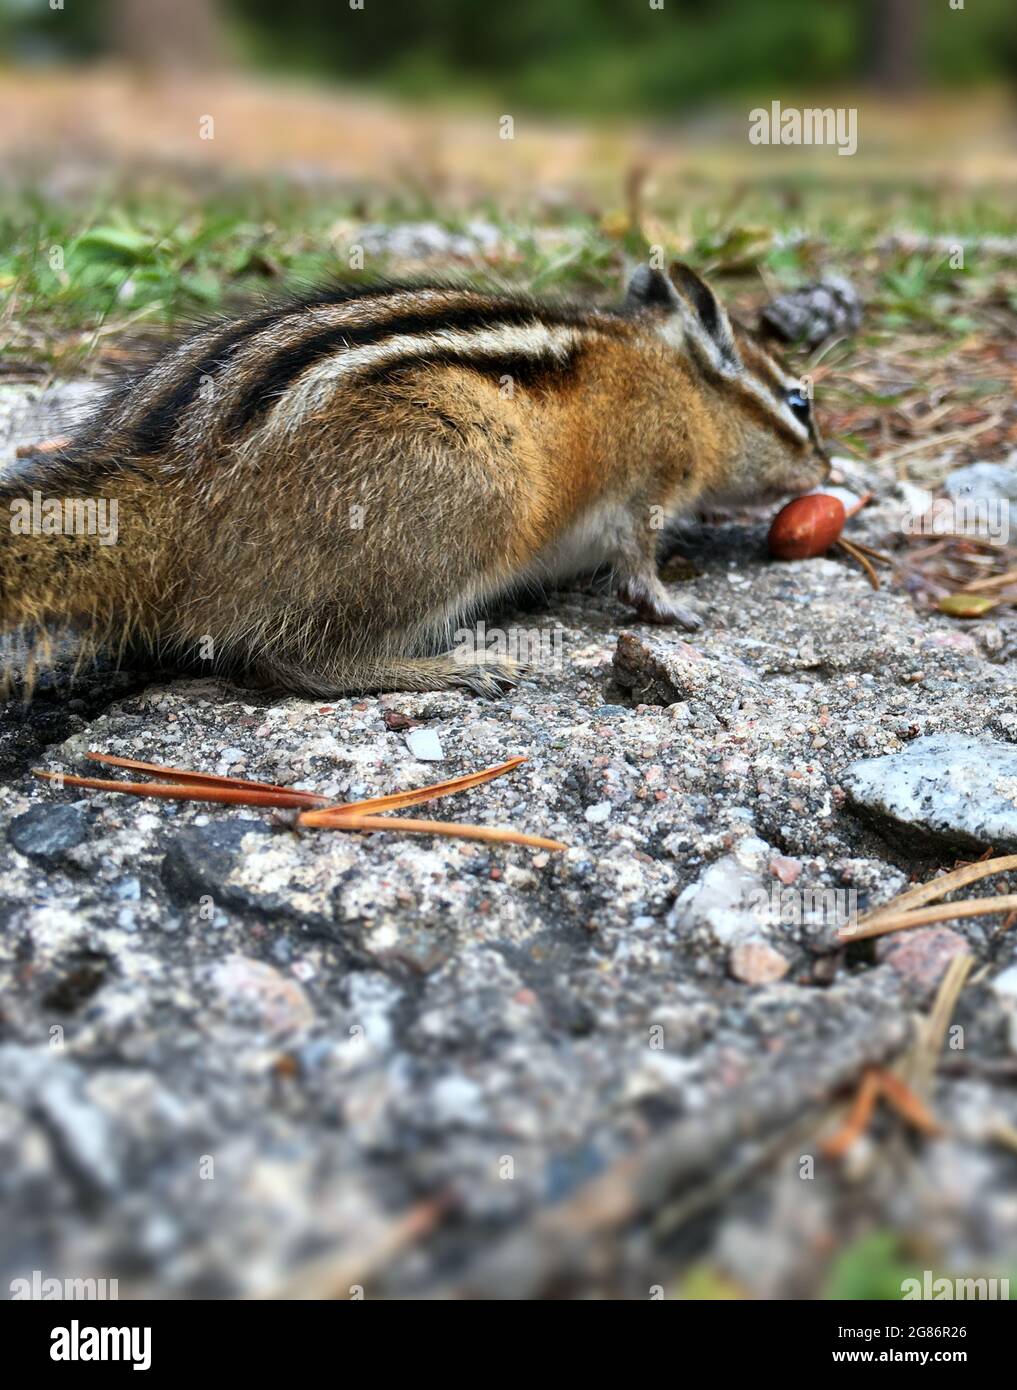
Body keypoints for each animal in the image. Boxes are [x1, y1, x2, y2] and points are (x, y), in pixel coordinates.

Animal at [0, 262, 829, 697]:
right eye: (799, 403)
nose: (829, 469)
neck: (678, 383)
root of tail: (165, 491)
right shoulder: (647, 481)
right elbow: (635, 564)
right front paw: (673, 606)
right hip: (468, 495)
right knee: (291, 659)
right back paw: (455, 668)